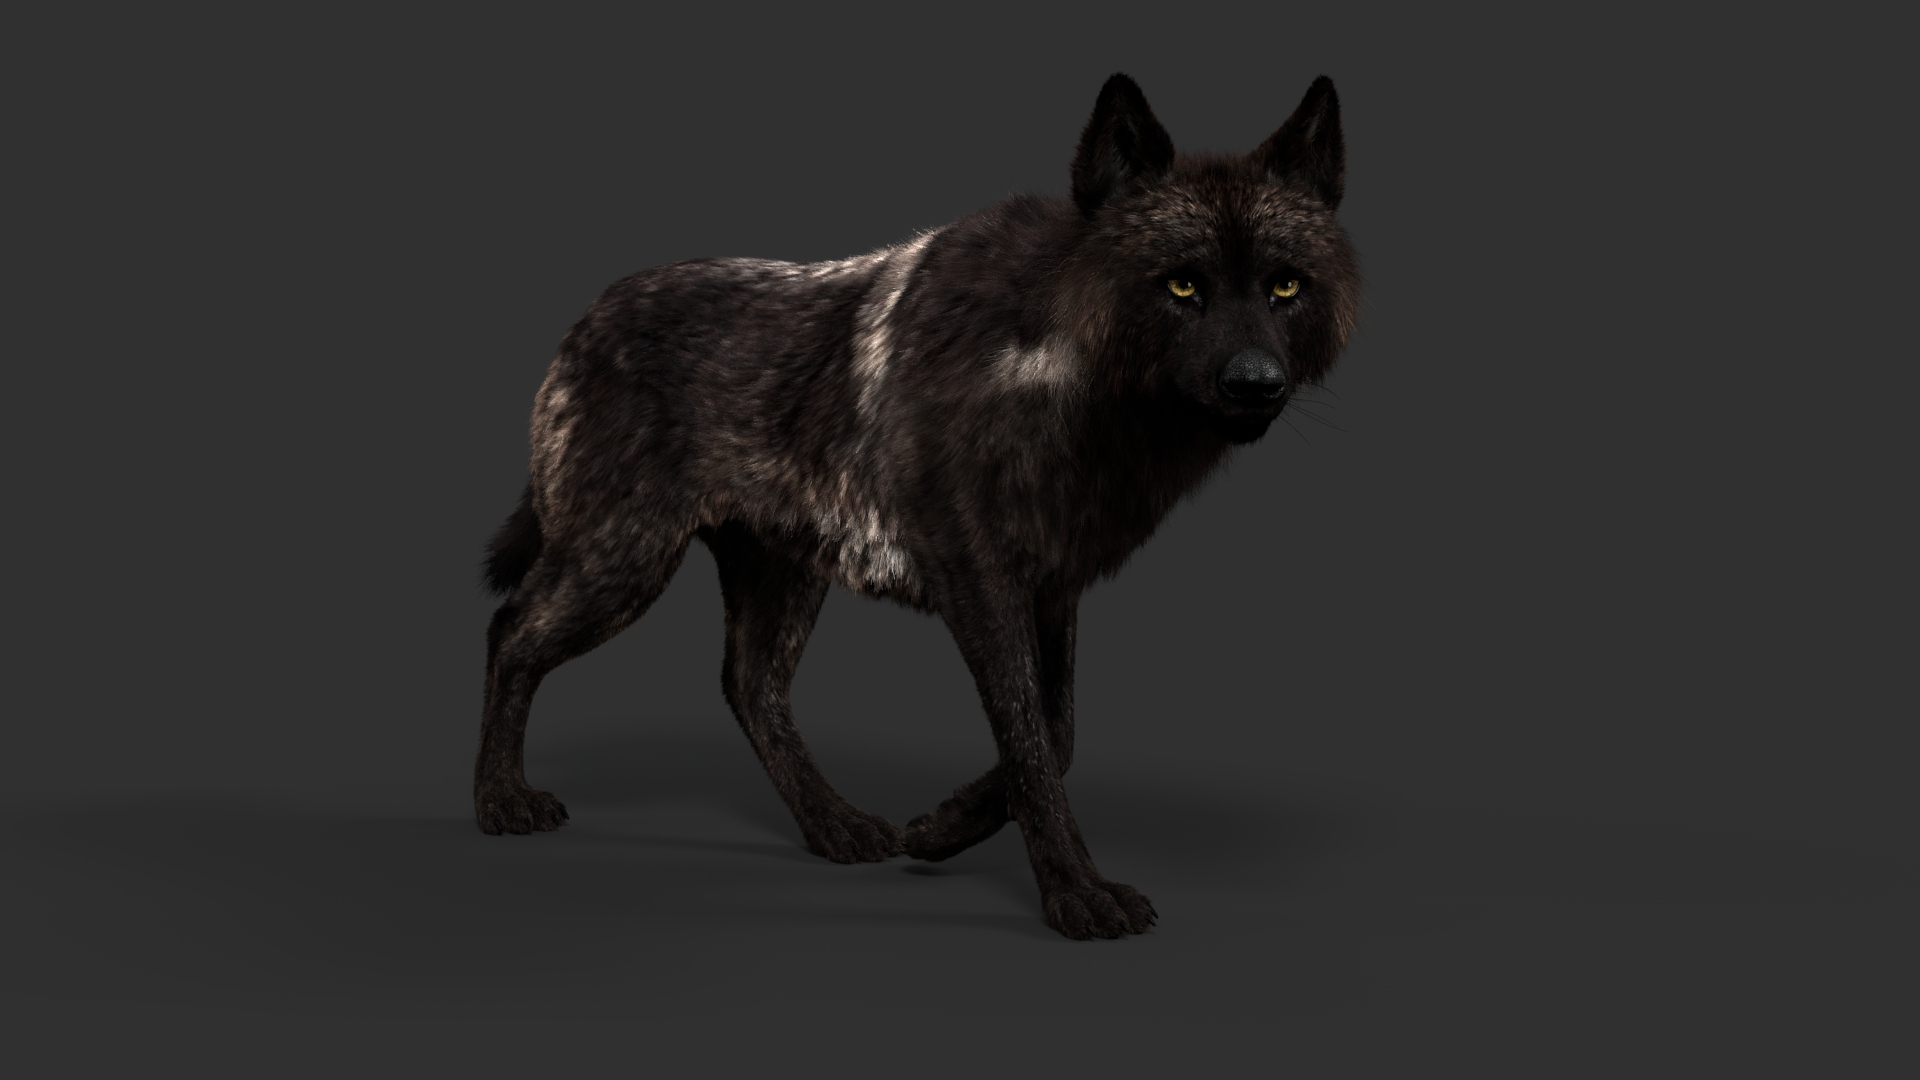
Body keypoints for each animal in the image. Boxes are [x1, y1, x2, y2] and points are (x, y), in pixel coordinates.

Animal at [475, 72, 1359, 939]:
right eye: (1182, 285)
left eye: (1285, 287)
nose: (1256, 383)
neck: (1059, 387)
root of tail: (587, 316)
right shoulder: (979, 582)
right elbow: (1032, 737)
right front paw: (1076, 895)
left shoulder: (1052, 585)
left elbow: (1060, 730)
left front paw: (942, 828)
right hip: (624, 564)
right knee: (510, 631)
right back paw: (499, 801)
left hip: (780, 575)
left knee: (747, 683)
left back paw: (834, 826)